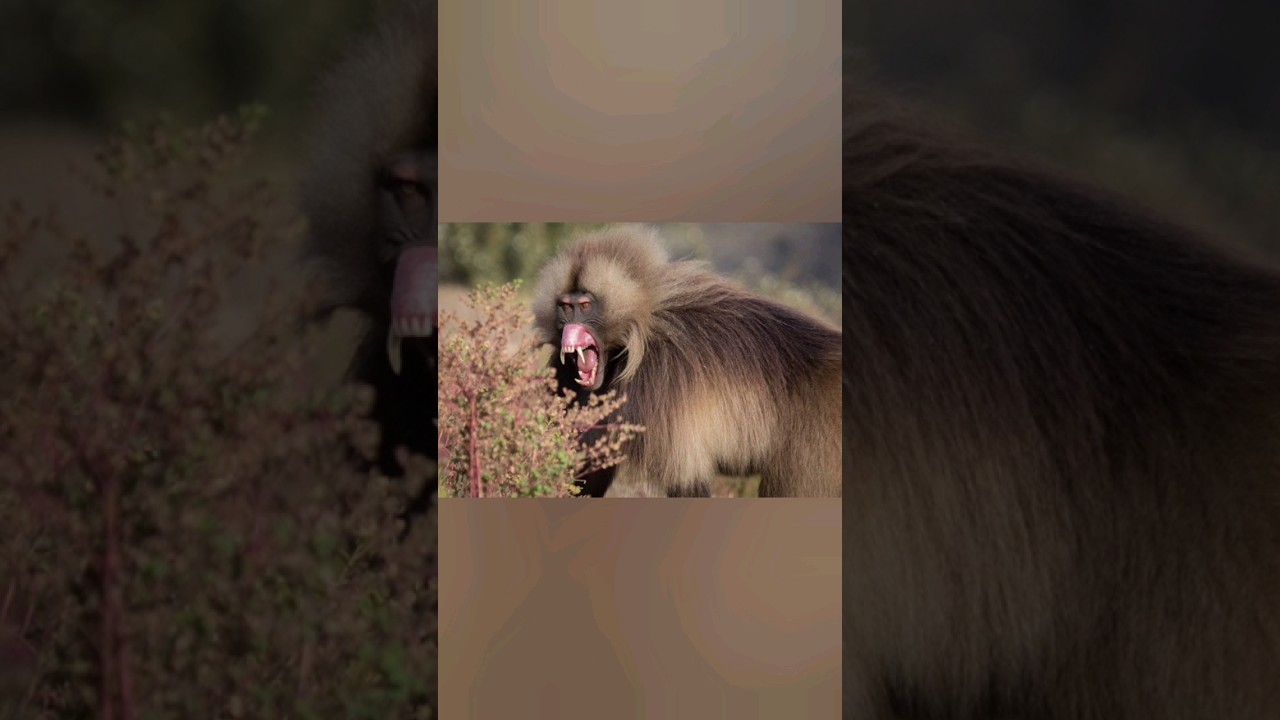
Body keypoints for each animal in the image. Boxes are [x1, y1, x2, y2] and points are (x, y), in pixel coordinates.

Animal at [532, 225, 842, 498]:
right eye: (565, 307)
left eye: (585, 306)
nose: (568, 329)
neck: (633, 339)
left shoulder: (659, 381)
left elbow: (686, 481)